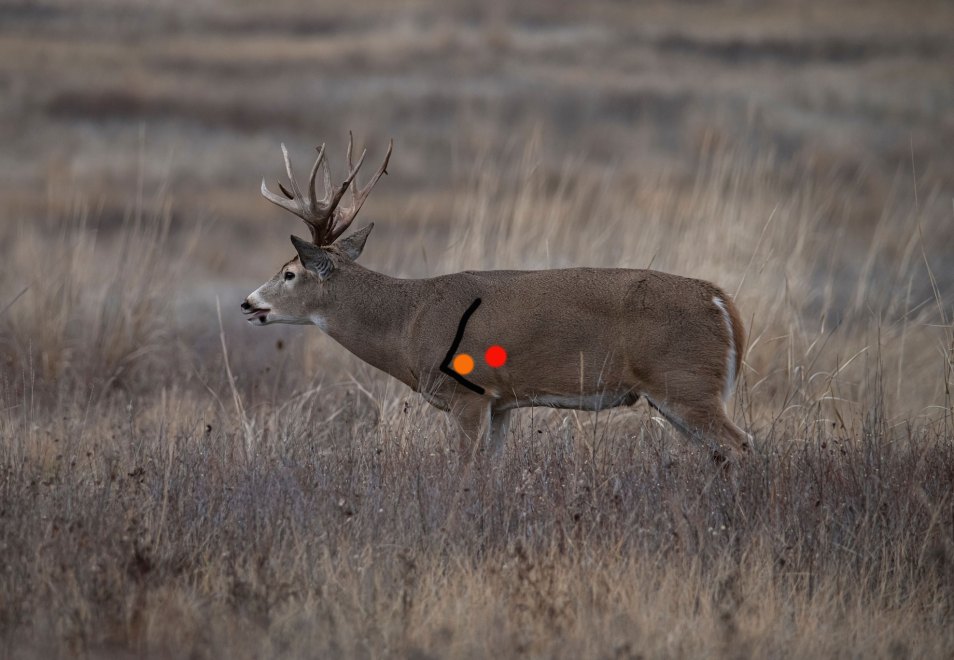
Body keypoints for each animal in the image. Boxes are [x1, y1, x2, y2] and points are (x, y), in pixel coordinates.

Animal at [242, 135, 750, 465]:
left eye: (288, 273)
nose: (248, 303)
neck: (409, 321)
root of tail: (721, 302)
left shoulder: (468, 393)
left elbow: (465, 469)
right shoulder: (502, 401)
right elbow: (493, 469)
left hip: (684, 381)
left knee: (740, 445)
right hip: (676, 393)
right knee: (721, 453)